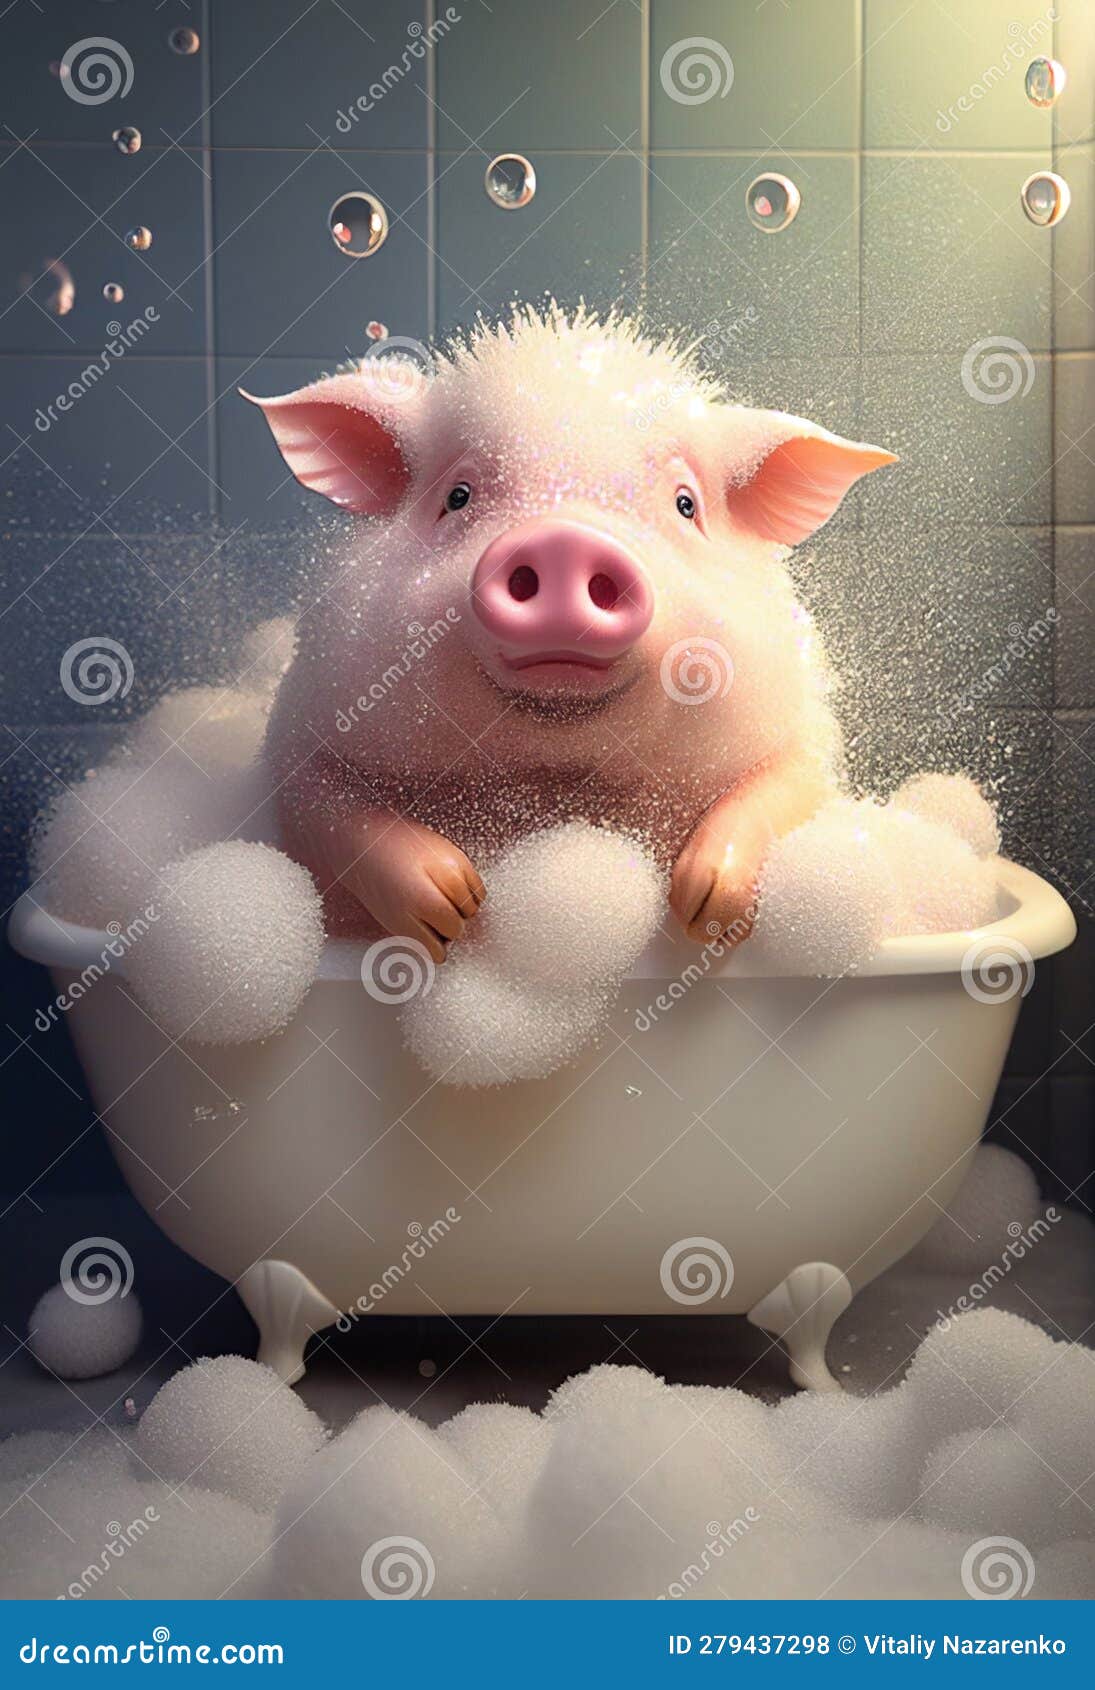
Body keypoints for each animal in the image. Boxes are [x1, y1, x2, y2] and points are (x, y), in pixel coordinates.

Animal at [247, 307, 895, 964]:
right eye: (458, 496)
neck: (557, 774)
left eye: (685, 505)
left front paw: (700, 907)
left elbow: (785, 784)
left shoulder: (805, 728)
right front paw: (459, 903)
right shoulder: (302, 723)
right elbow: (324, 804)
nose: (563, 539)